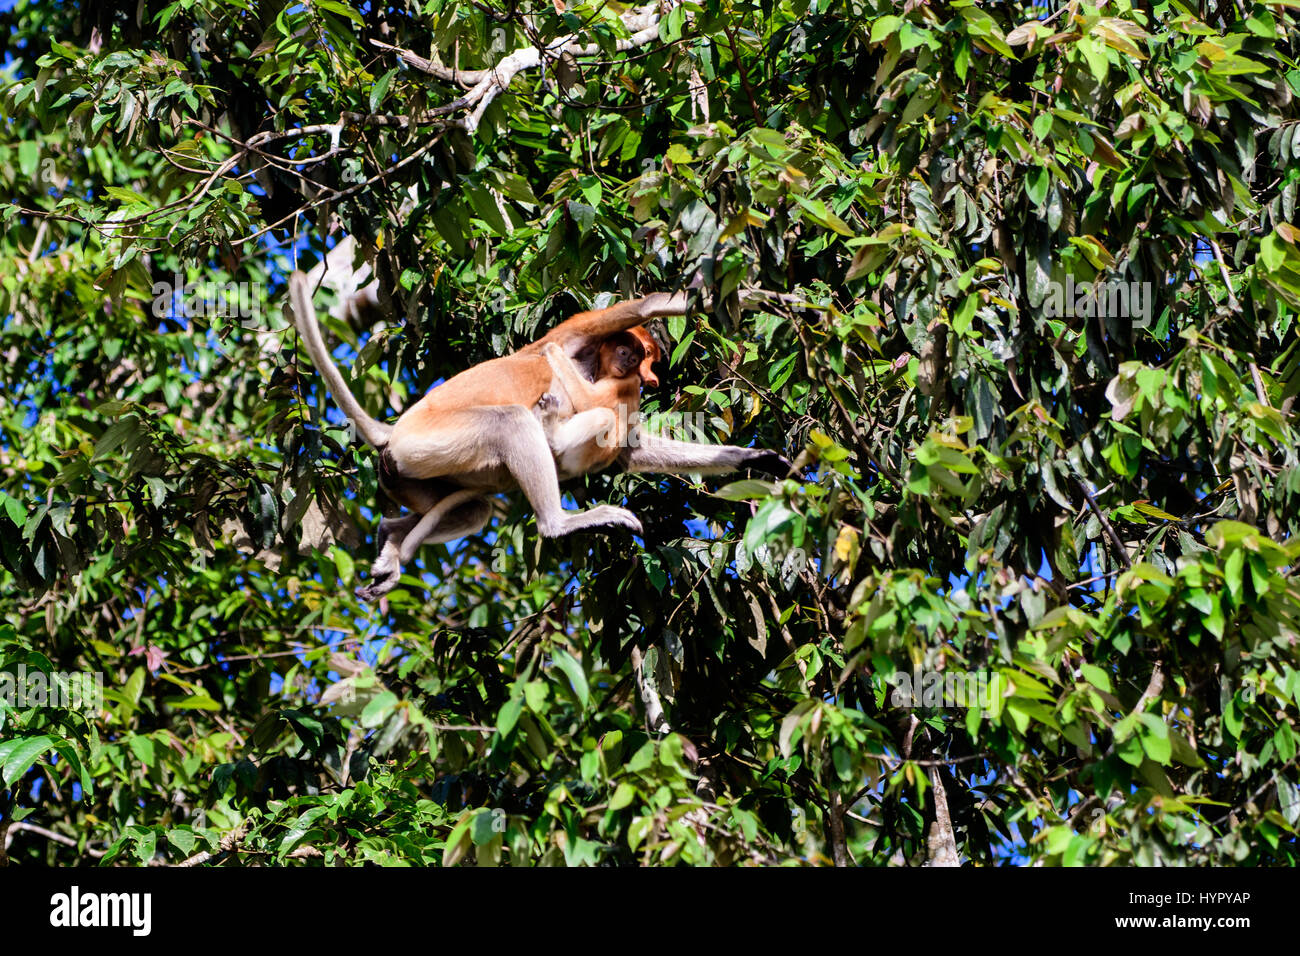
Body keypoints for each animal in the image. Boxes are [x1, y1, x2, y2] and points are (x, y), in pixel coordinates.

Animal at [286, 270, 789, 600]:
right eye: (637, 354)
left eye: (651, 359)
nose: (649, 378)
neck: (595, 363)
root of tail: (393, 432)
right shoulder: (576, 336)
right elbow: (641, 308)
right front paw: (764, 296)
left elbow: (631, 451)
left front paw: (758, 459)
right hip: (426, 443)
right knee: (510, 423)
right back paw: (559, 521)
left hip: (411, 474)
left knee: (473, 509)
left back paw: (390, 544)